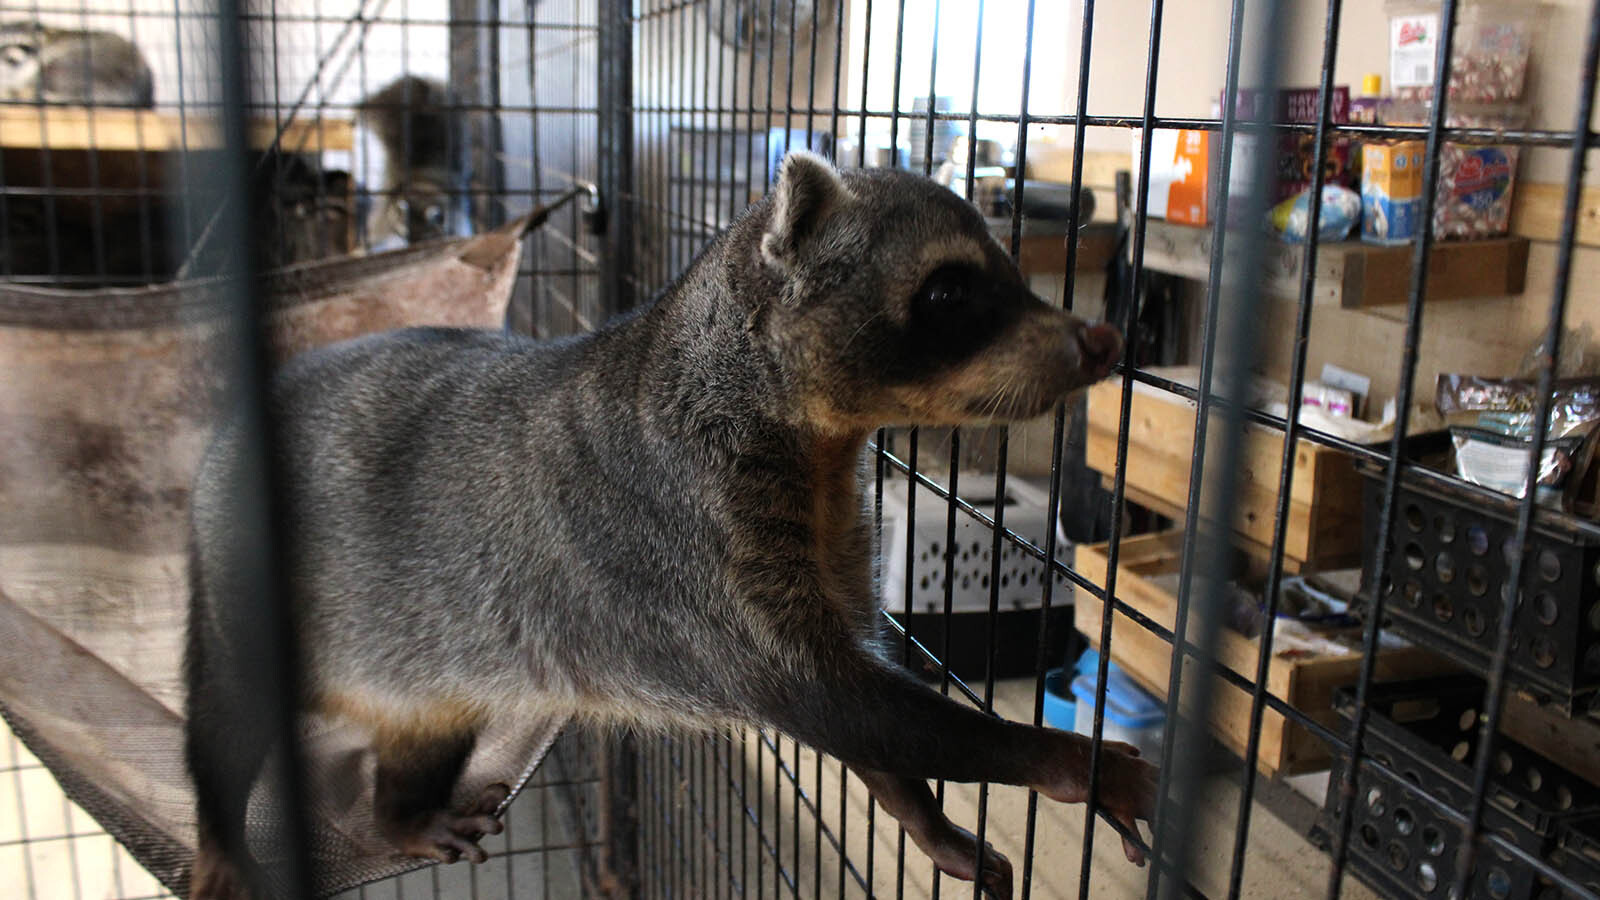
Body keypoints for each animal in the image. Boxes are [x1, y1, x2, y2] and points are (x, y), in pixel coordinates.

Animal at [184, 151, 1157, 900]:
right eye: (950, 290)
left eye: (1012, 269)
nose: (1104, 341)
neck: (822, 450)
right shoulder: (690, 548)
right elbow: (832, 700)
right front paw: (1060, 757)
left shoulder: (838, 536)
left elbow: (862, 714)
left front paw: (926, 820)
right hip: (241, 575)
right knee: (228, 710)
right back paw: (226, 824)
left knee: (428, 725)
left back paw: (402, 814)